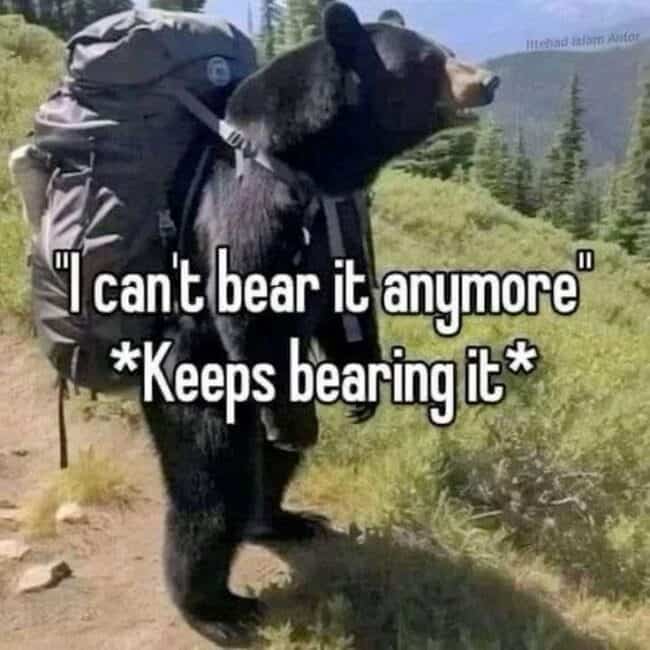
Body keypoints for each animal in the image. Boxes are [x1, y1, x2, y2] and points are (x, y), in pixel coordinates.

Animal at [142, 2, 499, 646]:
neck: (312, 160)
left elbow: (346, 295)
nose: (487, 80)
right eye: (429, 59)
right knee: (213, 491)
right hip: (194, 379)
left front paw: (364, 389)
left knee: (273, 464)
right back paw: (215, 608)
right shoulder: (249, 196)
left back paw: (284, 520)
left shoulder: (344, 212)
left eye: (446, 47)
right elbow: (248, 298)